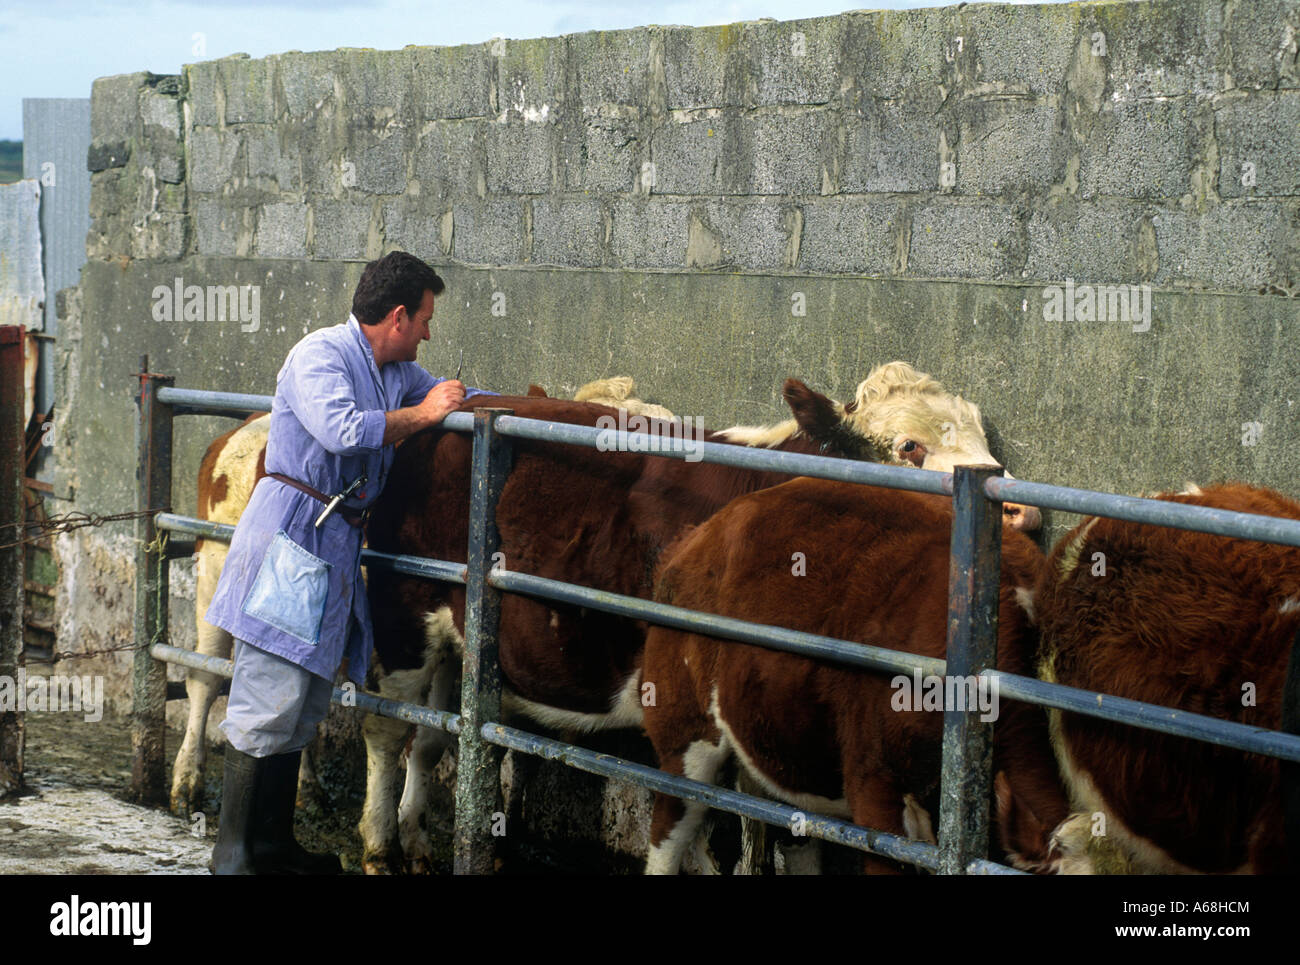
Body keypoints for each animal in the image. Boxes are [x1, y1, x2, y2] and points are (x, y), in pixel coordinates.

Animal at [360, 366, 1039, 873]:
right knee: (387, 728)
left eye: (984, 441)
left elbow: (785, 834)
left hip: (458, 636)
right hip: (397, 605)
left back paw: (417, 841)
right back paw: (379, 845)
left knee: (432, 736)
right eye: (909, 446)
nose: (1023, 514)